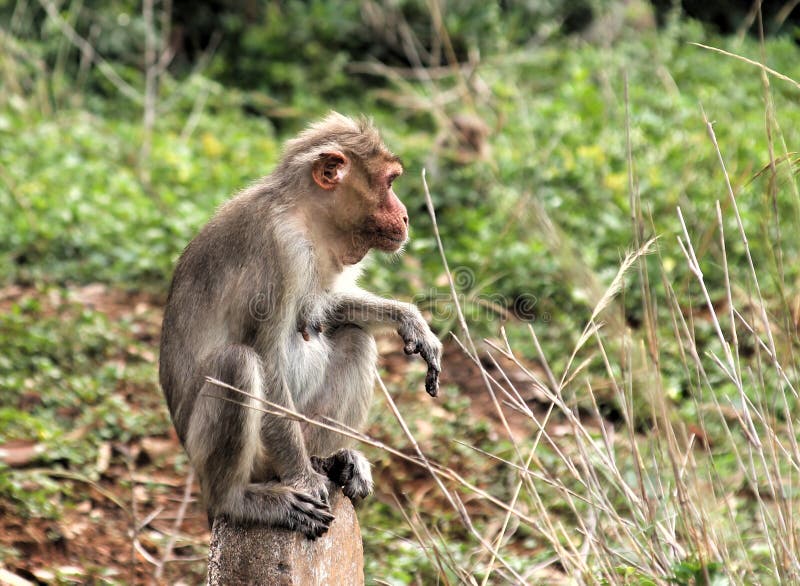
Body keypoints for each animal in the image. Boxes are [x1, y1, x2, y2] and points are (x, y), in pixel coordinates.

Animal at [159, 113, 443, 539]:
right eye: (390, 183)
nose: (406, 214)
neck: (304, 216)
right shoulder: (281, 251)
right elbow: (268, 356)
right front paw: (305, 480)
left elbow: (327, 309)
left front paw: (410, 319)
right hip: (233, 455)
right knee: (237, 363)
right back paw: (243, 498)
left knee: (356, 339)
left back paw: (331, 459)